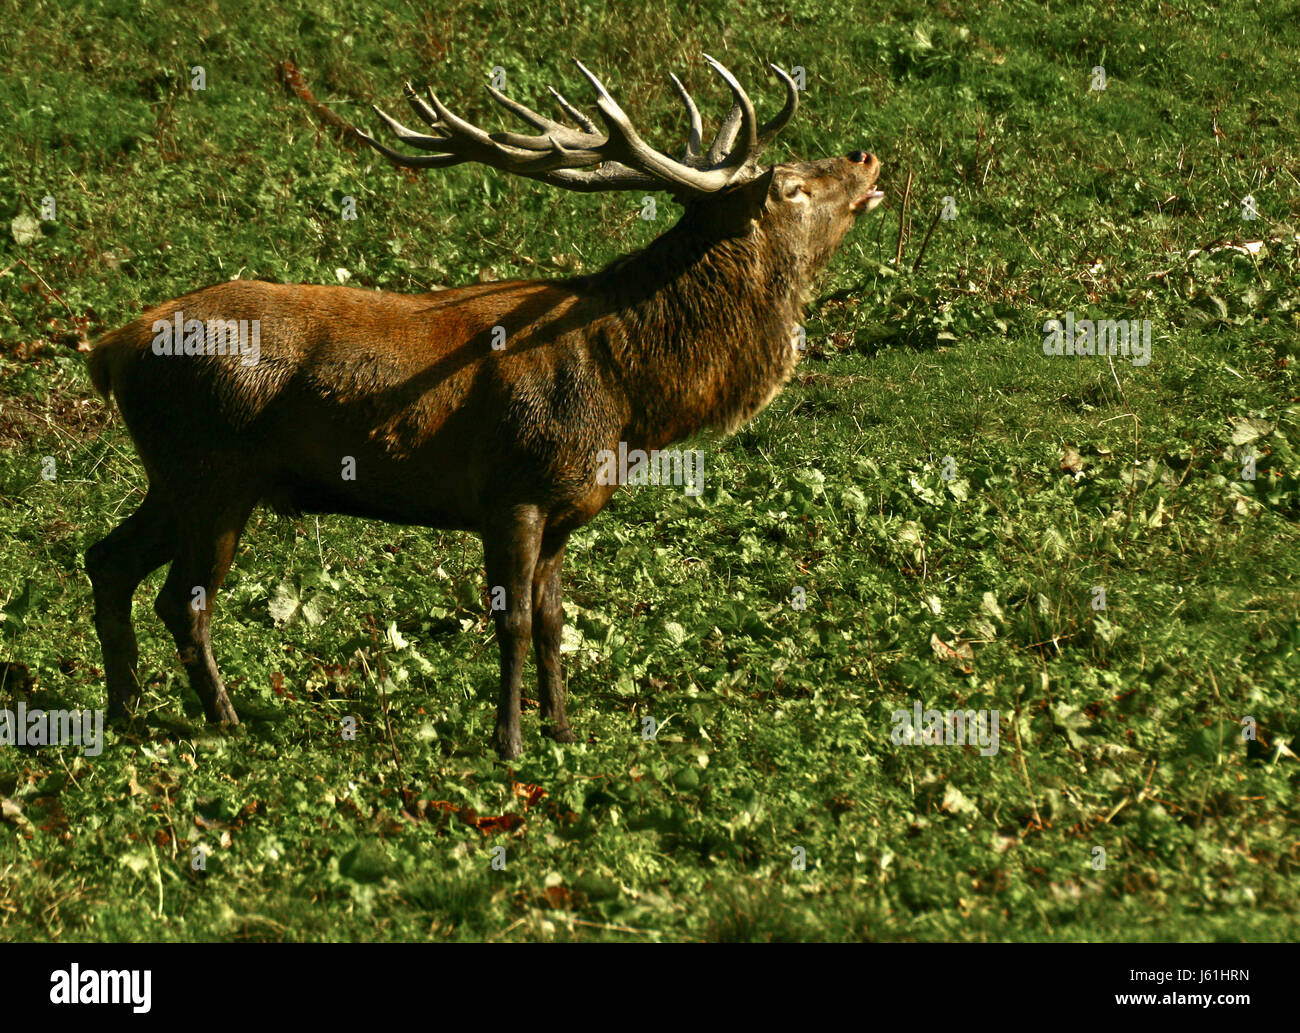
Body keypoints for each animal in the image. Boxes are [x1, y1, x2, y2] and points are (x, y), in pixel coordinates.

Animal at [85, 56, 884, 759]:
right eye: (790, 186)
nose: (866, 155)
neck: (626, 397)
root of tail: (112, 347)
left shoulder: (566, 508)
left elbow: (556, 621)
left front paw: (564, 730)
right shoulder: (513, 492)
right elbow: (514, 625)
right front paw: (510, 742)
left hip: (178, 479)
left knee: (107, 559)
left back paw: (126, 708)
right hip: (213, 475)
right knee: (181, 601)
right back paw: (223, 719)